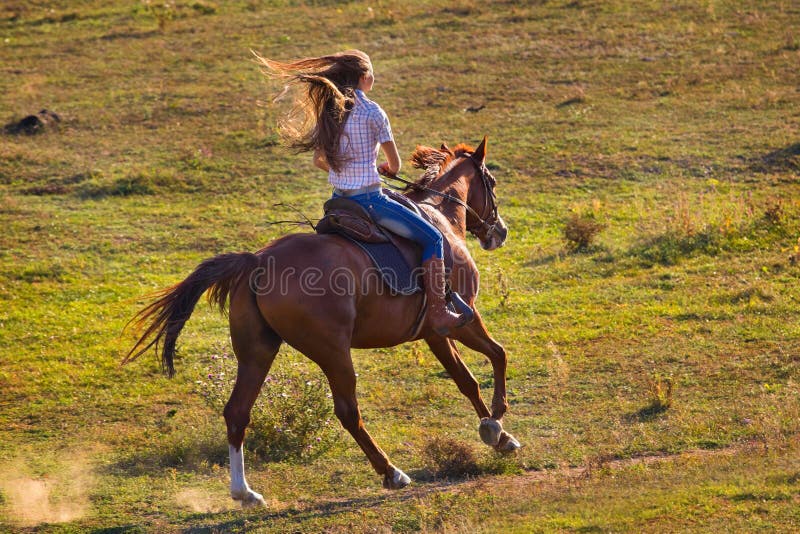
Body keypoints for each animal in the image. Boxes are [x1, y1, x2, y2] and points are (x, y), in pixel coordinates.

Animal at [125, 136, 520, 507]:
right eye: (492, 182)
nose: (500, 232)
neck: (440, 218)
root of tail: (257, 261)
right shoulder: (460, 320)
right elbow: (495, 357)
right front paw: (498, 426)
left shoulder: (434, 333)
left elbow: (467, 379)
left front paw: (494, 430)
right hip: (333, 353)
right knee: (348, 411)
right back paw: (391, 473)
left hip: (257, 352)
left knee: (237, 412)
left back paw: (245, 493)